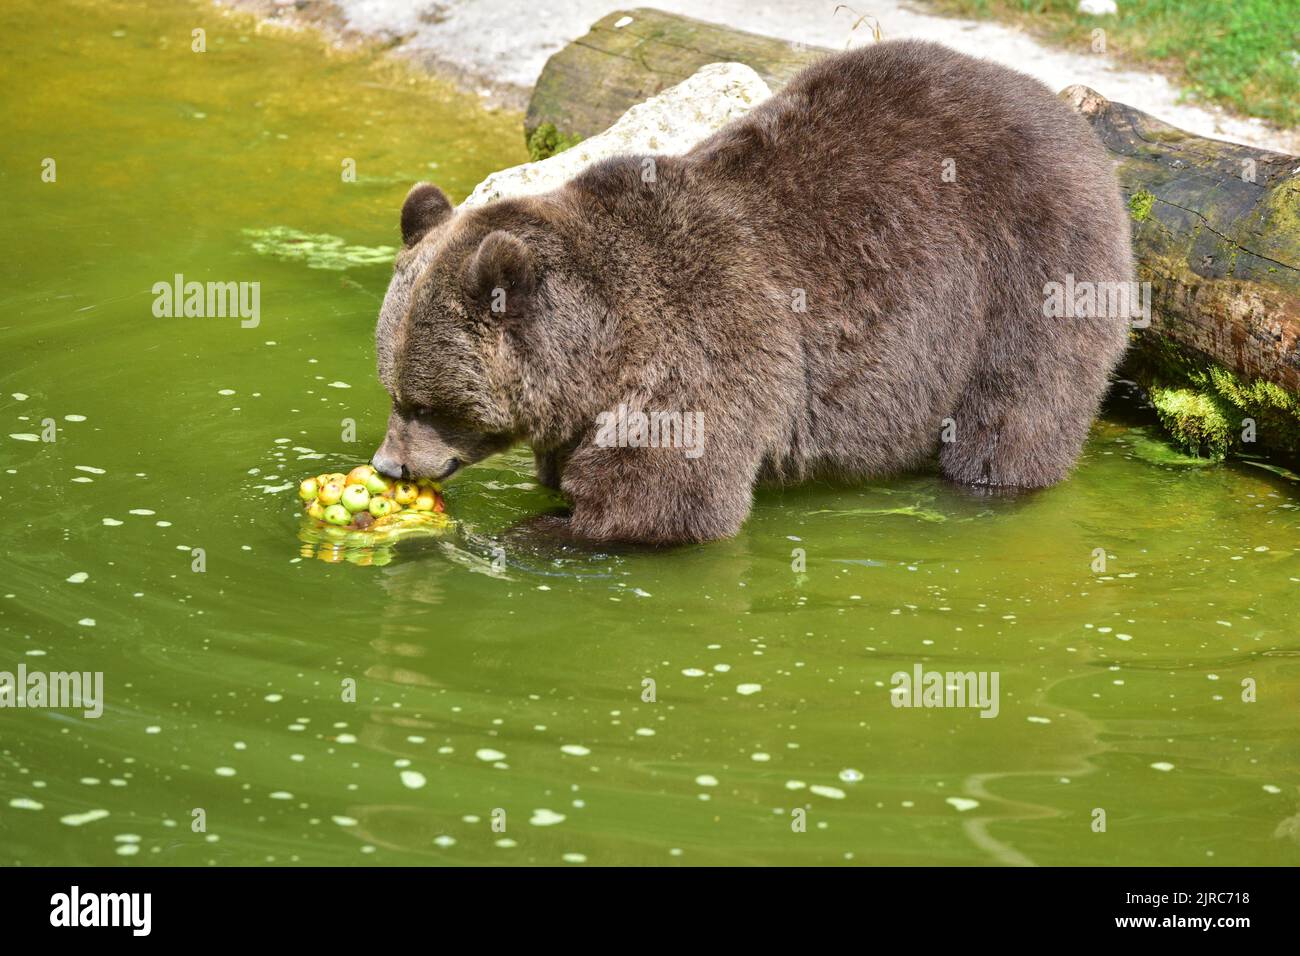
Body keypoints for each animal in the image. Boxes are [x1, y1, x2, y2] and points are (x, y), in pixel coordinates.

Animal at [371, 40, 1134, 545]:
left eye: (428, 403)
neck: (601, 350)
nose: (390, 464)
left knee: (1014, 412)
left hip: (1027, 272)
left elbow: (664, 499)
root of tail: (1071, 119)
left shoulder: (698, 351)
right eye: (393, 387)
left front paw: (522, 534)